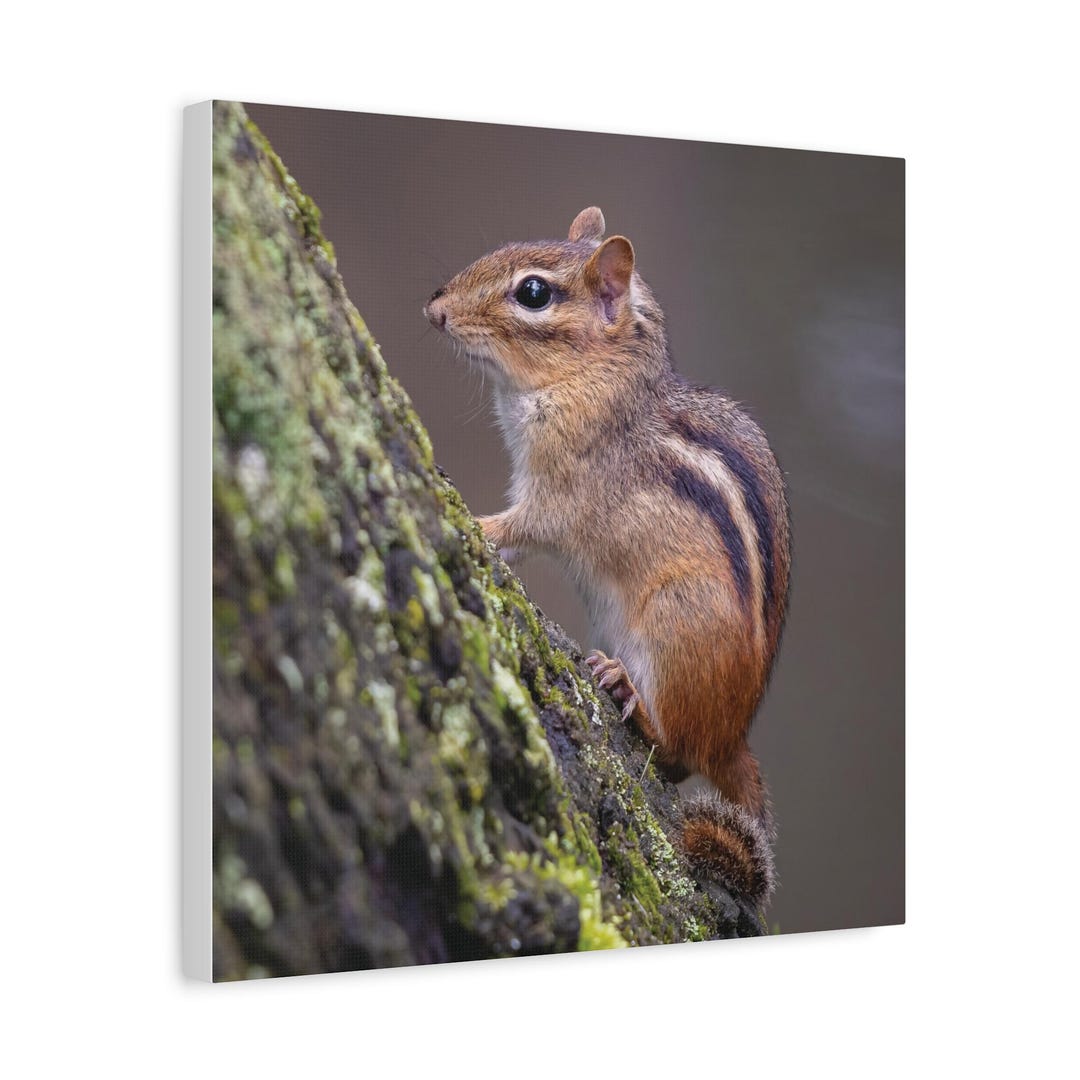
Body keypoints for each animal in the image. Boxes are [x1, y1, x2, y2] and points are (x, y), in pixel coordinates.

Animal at [424, 207, 791, 908]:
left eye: (533, 292)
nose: (434, 309)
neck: (600, 375)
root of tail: (735, 736)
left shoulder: (564, 490)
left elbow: (527, 524)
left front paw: (471, 517)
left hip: (677, 621)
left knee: (678, 748)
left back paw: (626, 688)